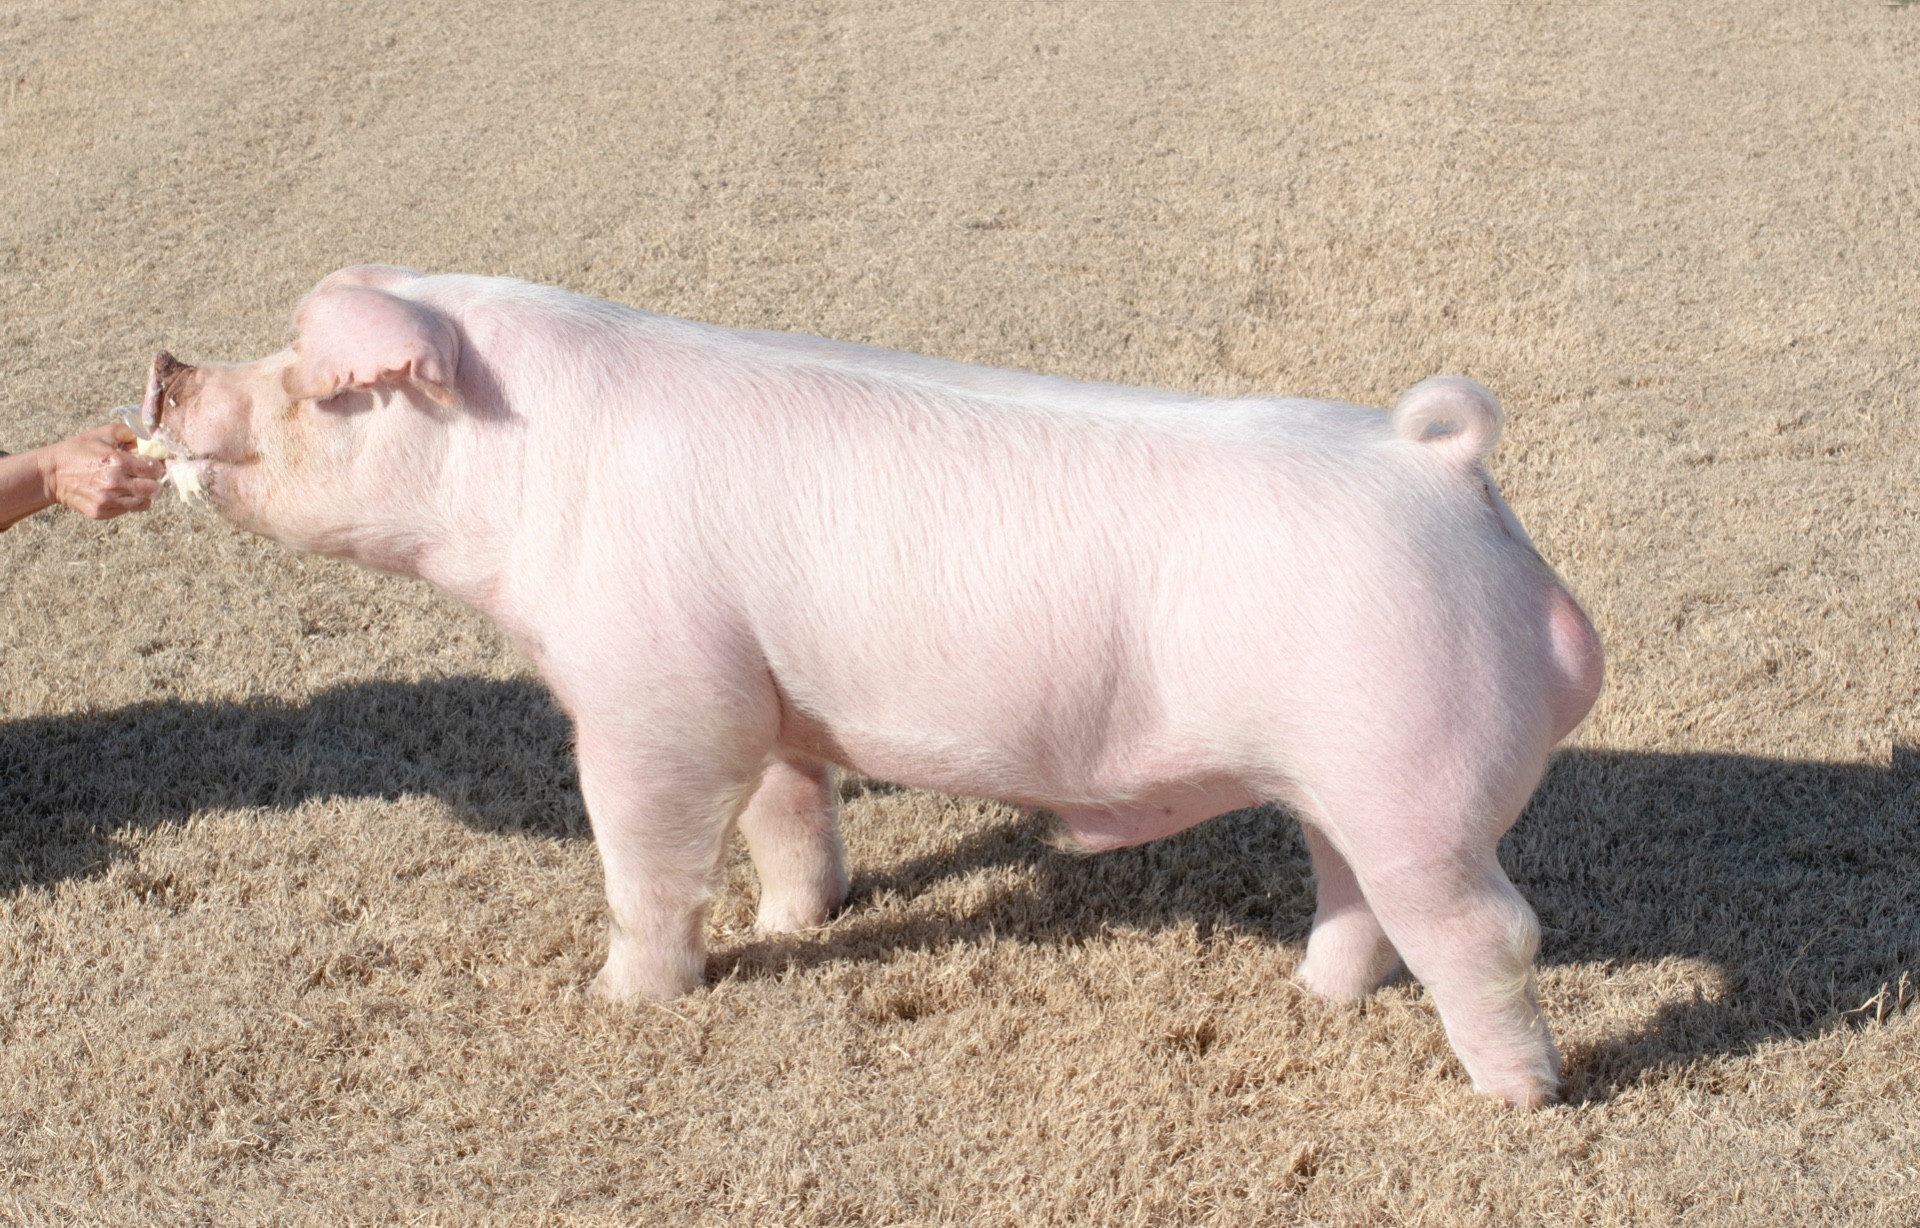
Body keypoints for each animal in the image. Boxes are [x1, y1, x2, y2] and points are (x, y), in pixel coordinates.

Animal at [146, 265, 1603, 1107]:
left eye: (314, 382)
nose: (164, 367)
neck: (523, 479)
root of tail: (1442, 471)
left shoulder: (653, 691)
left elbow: (645, 849)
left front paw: (624, 1000)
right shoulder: (771, 693)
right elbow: (791, 810)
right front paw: (798, 923)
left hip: (1414, 769)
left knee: (1490, 931)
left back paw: (1519, 1100)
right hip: (1347, 776)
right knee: (1353, 893)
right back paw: (1315, 998)